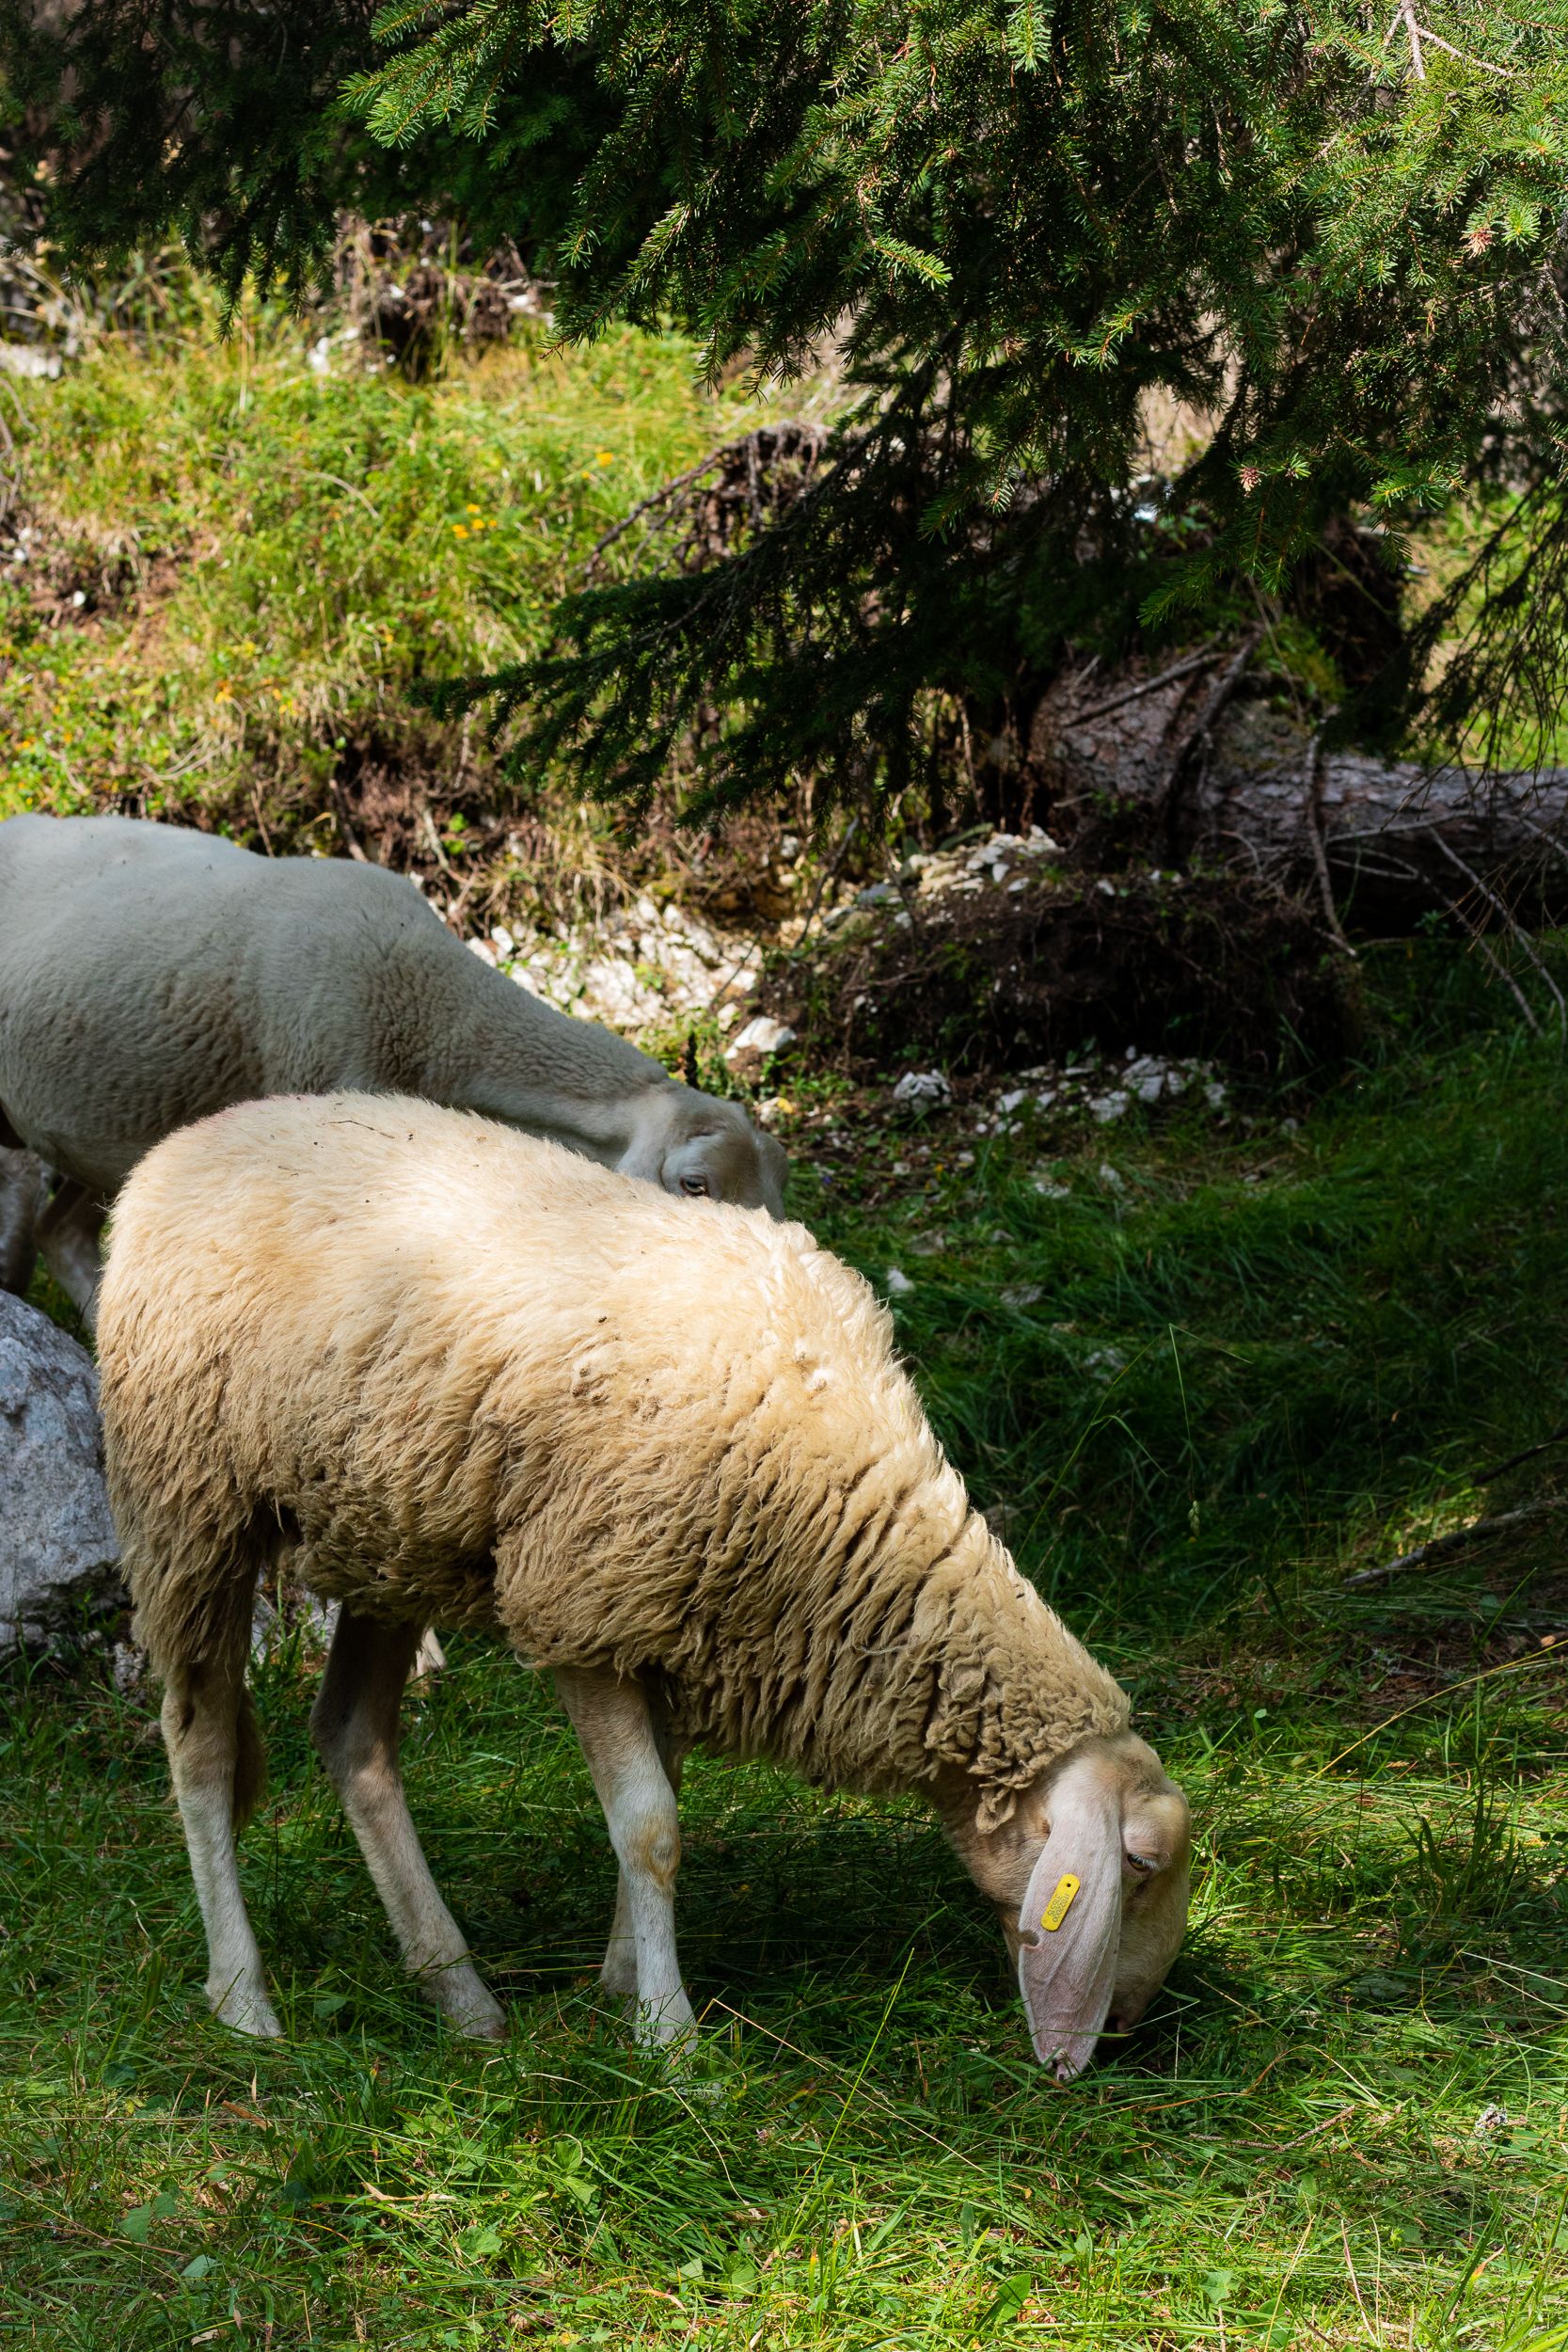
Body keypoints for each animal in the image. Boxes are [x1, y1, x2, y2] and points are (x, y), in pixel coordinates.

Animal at [99, 1093, 1192, 2080]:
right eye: (1137, 1865)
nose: (1125, 2029)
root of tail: (197, 1135)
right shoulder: (582, 1603)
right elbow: (651, 1828)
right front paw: (668, 2038)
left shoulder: (664, 1625)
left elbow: (659, 1806)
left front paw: (621, 1982)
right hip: (188, 1498)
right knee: (199, 1741)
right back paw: (244, 1997)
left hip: (385, 1524)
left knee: (353, 1740)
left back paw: (459, 1993)